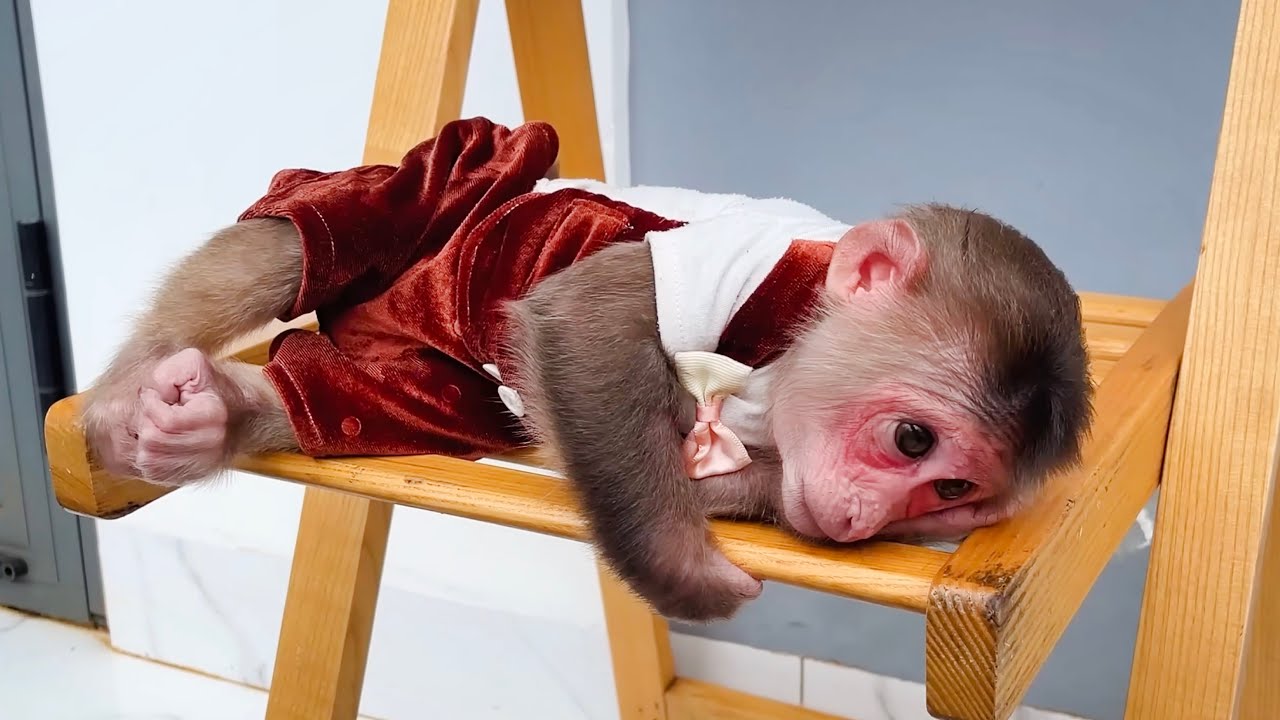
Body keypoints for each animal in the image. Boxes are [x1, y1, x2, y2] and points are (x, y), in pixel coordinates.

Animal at [80, 117, 1093, 622]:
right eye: (912, 440)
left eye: (951, 491)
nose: (862, 521)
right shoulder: (743, 263)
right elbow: (584, 316)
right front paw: (681, 567)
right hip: (443, 175)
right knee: (301, 240)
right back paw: (133, 388)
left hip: (426, 382)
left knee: (370, 400)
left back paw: (212, 412)